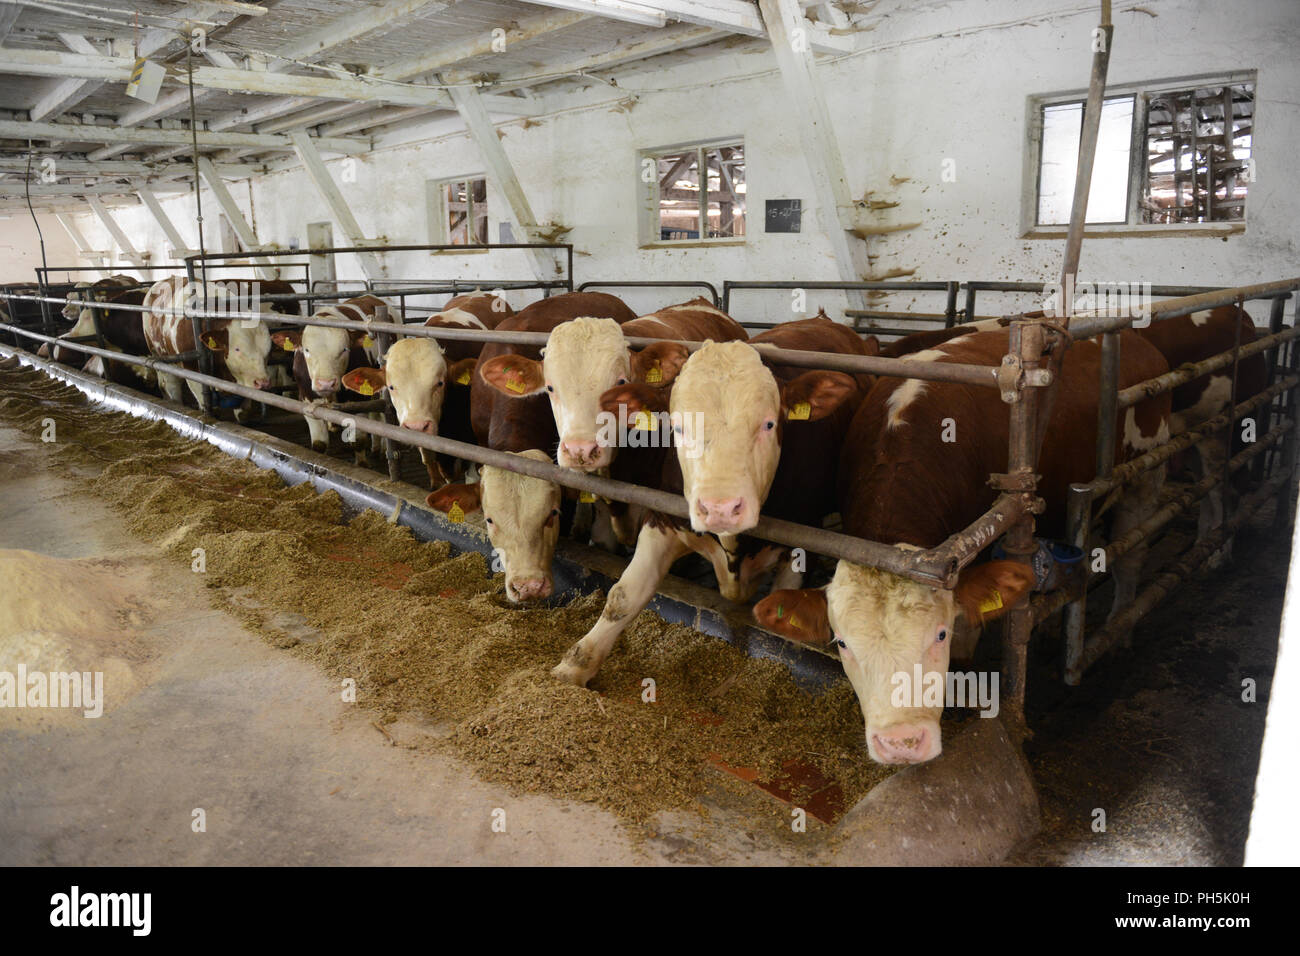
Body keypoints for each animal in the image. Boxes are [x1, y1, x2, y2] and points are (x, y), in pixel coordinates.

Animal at [751, 328, 1172, 764]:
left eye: (941, 635)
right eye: (843, 643)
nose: (901, 743)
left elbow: (969, 639)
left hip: (1147, 473)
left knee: (1131, 556)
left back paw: (1121, 628)